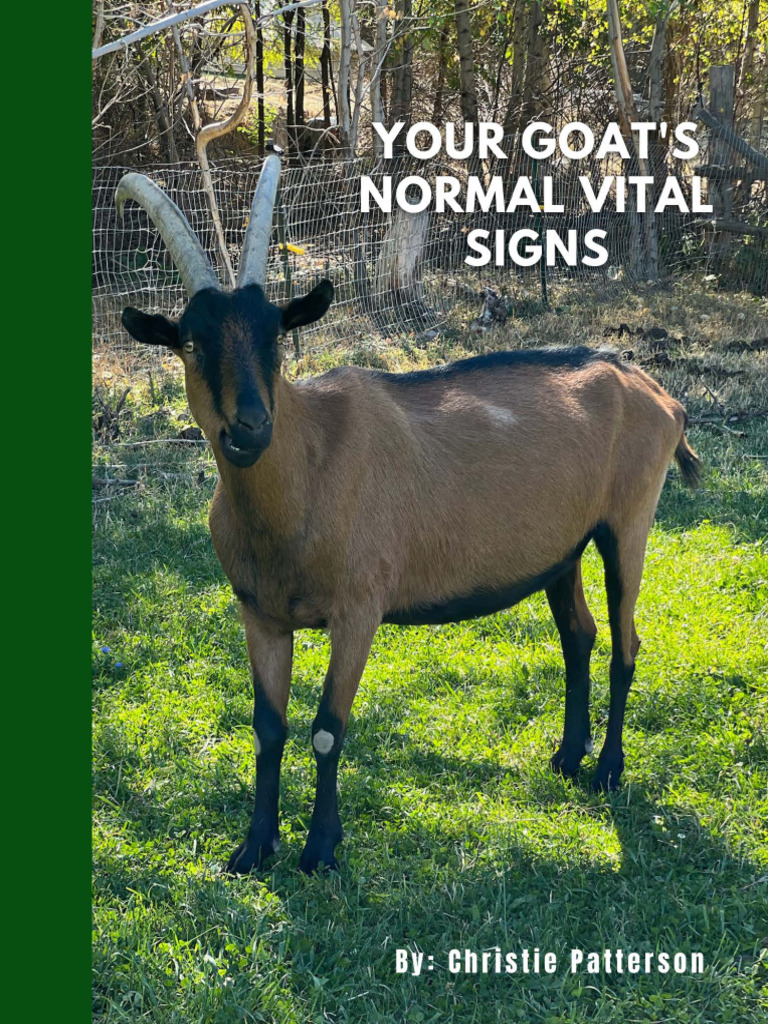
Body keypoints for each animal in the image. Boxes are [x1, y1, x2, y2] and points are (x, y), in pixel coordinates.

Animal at [116, 155, 702, 875]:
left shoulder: (359, 608)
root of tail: (659, 395)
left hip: (628, 522)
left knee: (625, 643)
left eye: (277, 335)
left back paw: (608, 771)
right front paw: (254, 848)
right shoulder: (261, 614)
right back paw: (568, 755)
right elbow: (268, 728)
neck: (304, 479)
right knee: (578, 635)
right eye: (192, 343)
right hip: (563, 547)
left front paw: (320, 849)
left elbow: (326, 730)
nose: (250, 426)